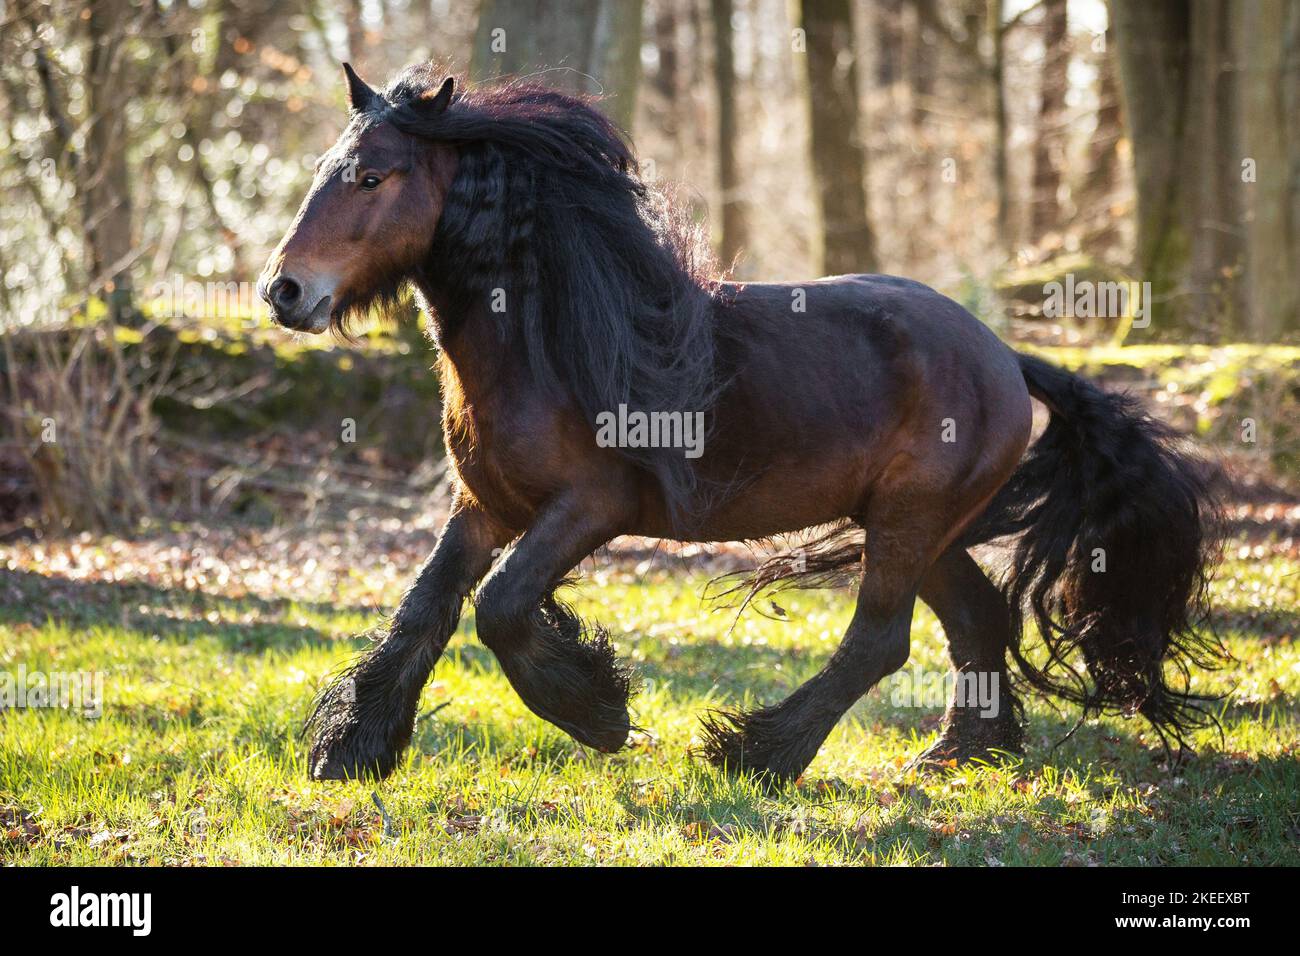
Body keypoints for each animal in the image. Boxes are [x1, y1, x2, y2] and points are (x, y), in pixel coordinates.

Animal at [257, 62, 1226, 786]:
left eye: (372, 177)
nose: (284, 292)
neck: (545, 341)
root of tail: (1002, 356)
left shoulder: (589, 508)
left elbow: (497, 608)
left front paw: (601, 712)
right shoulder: (484, 507)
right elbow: (423, 610)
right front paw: (352, 750)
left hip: (909, 523)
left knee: (880, 641)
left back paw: (755, 754)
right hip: (927, 528)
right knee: (976, 621)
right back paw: (957, 754)